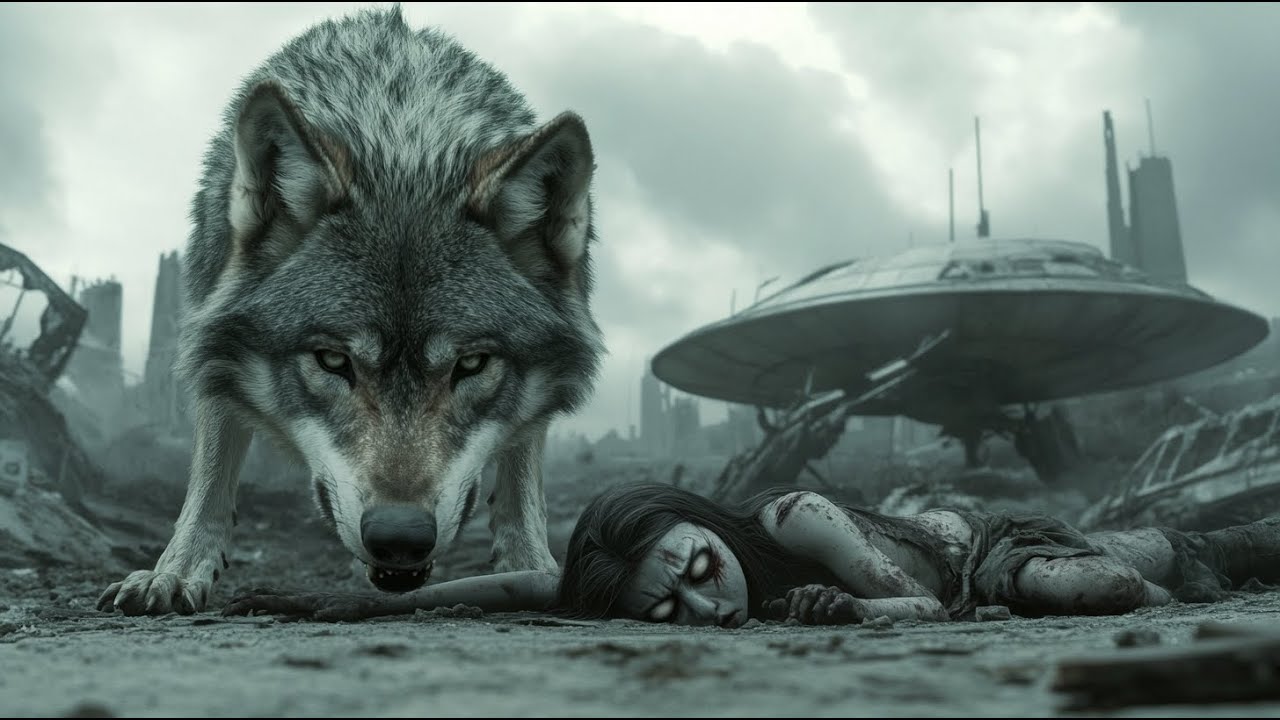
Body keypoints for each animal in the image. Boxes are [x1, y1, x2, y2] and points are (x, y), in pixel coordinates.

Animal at [97, 6, 603, 615]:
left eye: (472, 365)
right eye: (333, 361)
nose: (400, 537)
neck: (405, 150)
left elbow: (523, 470)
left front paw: (530, 566)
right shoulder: (211, 334)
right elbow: (212, 468)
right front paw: (174, 570)